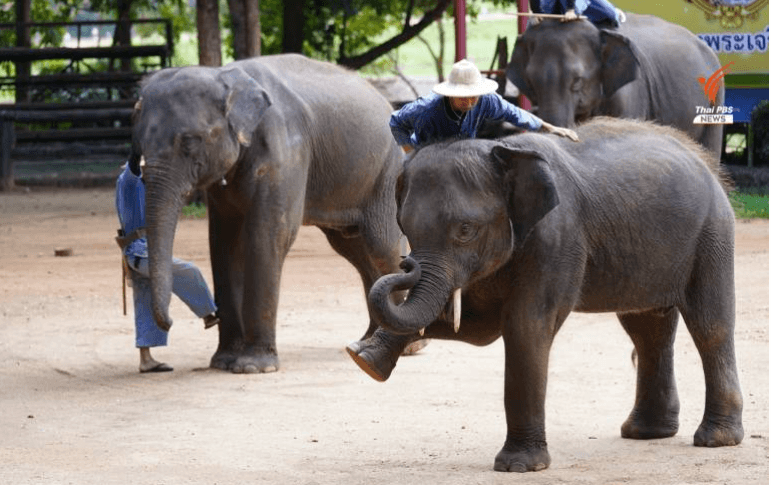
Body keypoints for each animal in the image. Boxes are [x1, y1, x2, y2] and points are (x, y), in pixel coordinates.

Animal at [131, 54, 406, 374]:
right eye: (138, 143)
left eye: (189, 141)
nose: (171, 322)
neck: (223, 76)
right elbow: (223, 243)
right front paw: (223, 362)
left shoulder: (284, 152)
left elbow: (268, 234)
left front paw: (253, 366)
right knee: (354, 250)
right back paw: (363, 344)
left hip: (387, 173)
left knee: (382, 246)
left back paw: (404, 348)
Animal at [346, 117, 744, 472]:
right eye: (405, 226)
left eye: (465, 230)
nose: (407, 262)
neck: (506, 153)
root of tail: (704, 160)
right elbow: (475, 327)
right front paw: (365, 361)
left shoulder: (558, 239)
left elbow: (525, 327)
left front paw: (519, 467)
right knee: (648, 330)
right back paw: (645, 433)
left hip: (713, 234)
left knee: (710, 326)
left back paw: (716, 439)